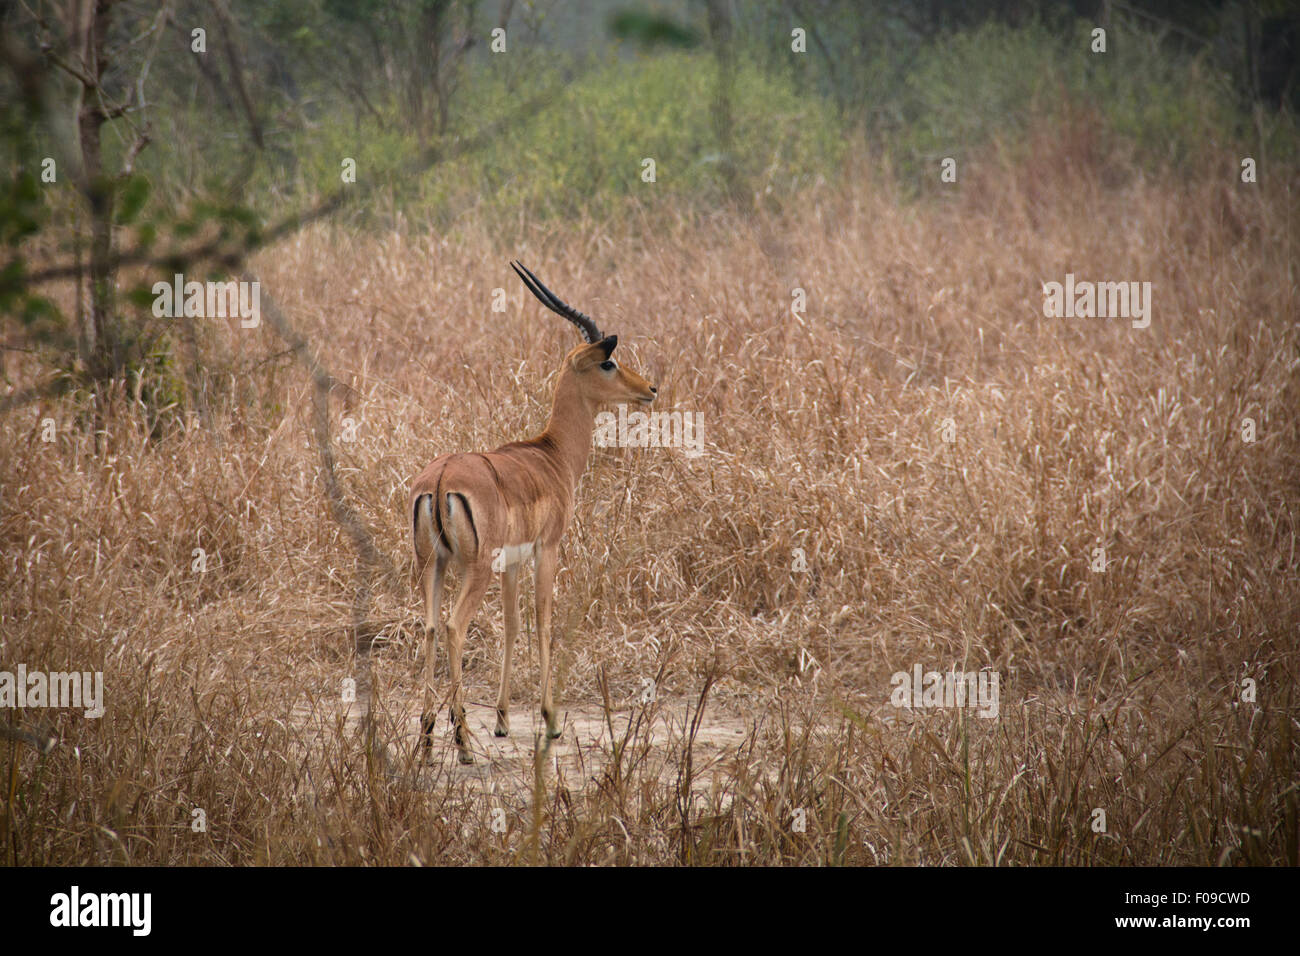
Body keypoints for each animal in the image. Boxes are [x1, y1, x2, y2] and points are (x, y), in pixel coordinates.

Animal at [409, 262, 657, 764]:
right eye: (609, 362)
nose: (650, 389)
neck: (553, 454)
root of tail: (440, 479)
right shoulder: (548, 548)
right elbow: (543, 620)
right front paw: (551, 719)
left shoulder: (512, 561)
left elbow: (511, 625)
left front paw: (503, 720)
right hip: (474, 568)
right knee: (454, 627)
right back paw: (462, 743)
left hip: (434, 564)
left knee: (429, 626)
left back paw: (426, 737)